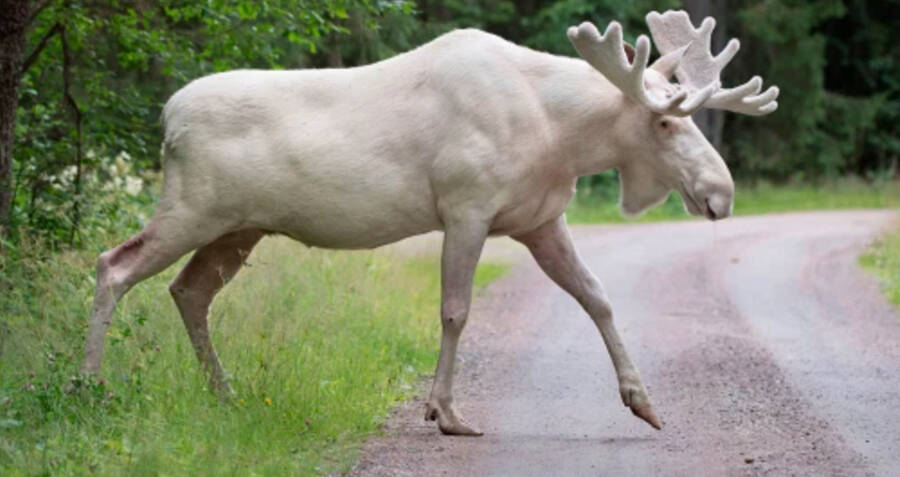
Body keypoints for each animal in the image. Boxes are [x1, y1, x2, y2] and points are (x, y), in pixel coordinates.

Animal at [80, 10, 777, 436]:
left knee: (188, 290)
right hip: (192, 208)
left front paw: (643, 401)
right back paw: (89, 385)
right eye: (664, 121)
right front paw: (445, 412)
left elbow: (599, 298)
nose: (721, 194)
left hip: (238, 228)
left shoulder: (540, 219)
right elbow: (455, 310)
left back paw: (224, 394)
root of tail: (167, 118)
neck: (559, 136)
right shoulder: (466, 206)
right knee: (113, 265)